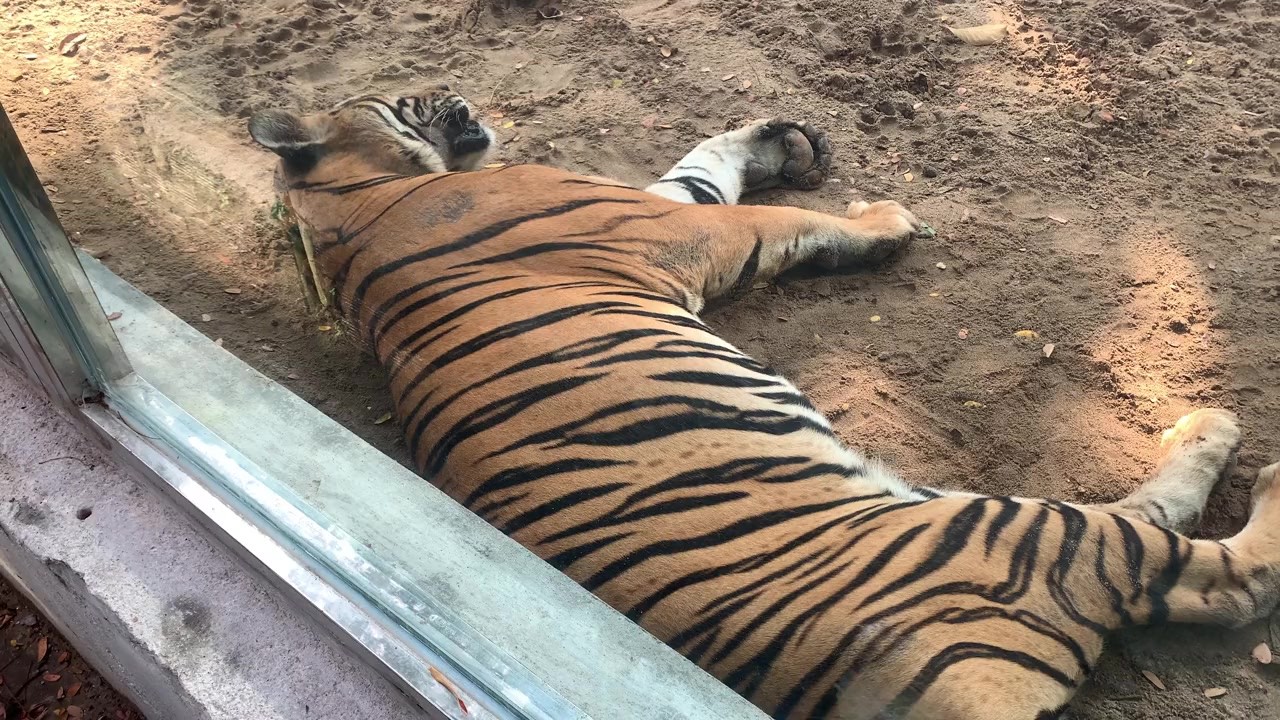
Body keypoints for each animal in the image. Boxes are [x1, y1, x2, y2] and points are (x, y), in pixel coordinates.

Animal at [247, 86, 1280, 720]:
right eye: (406, 99)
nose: (461, 101)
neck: (347, 206)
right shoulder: (665, 227)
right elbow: (771, 217)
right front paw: (882, 220)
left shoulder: (663, 208)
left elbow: (705, 165)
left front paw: (772, 139)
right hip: (1015, 536)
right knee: (1219, 571)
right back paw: (1225, 436)